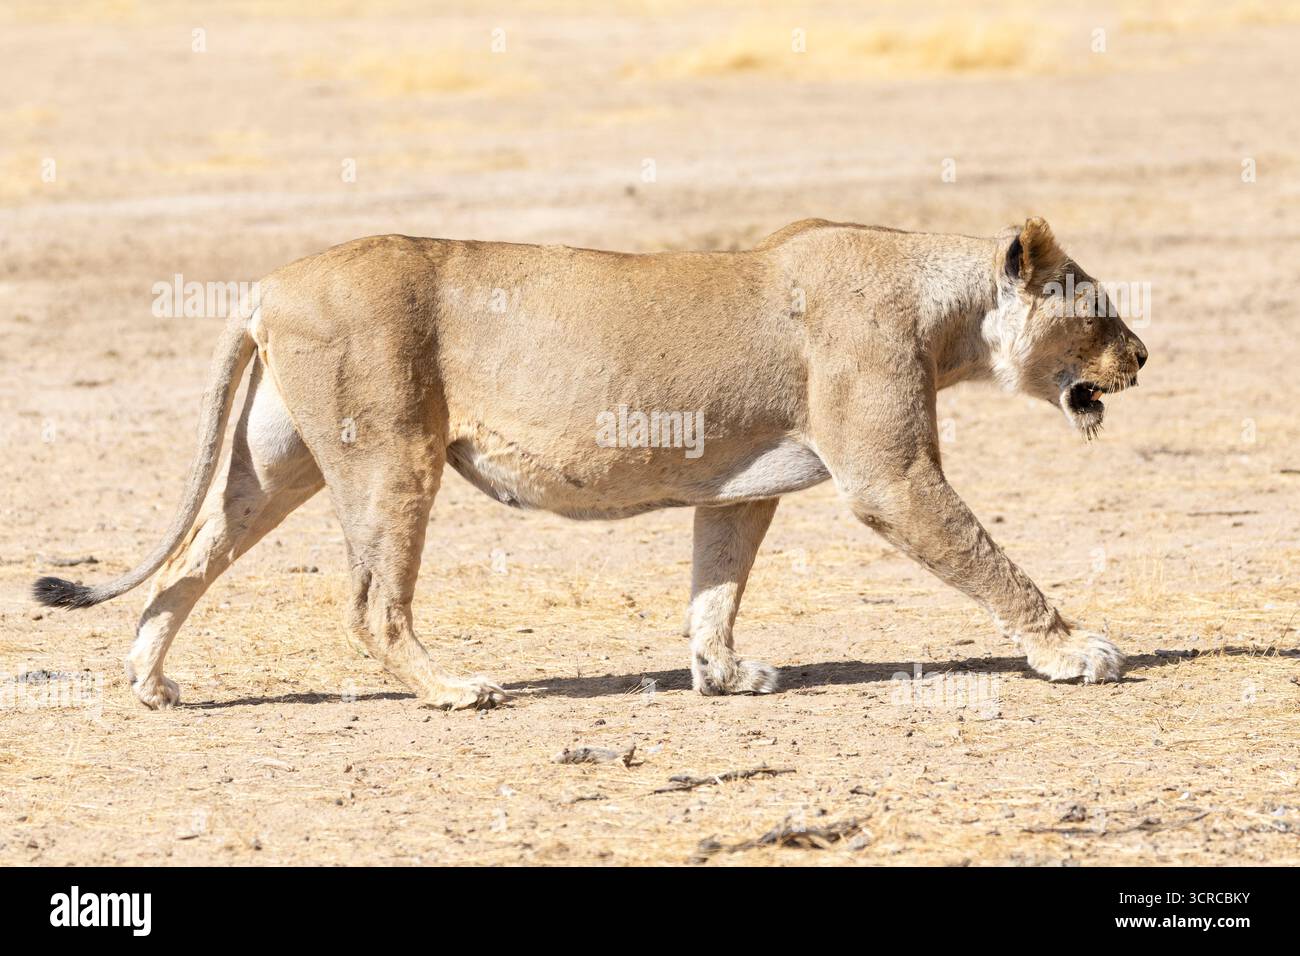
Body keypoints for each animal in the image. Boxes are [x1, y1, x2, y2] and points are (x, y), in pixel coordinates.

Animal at [32, 217, 1148, 710]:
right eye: (1098, 308)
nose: (1140, 356)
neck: (945, 310)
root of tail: (267, 282)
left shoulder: (739, 486)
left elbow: (715, 586)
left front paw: (723, 673)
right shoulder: (890, 475)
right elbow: (989, 560)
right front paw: (1075, 651)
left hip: (281, 464)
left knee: (189, 558)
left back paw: (150, 681)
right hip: (392, 454)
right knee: (370, 604)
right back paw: (453, 689)